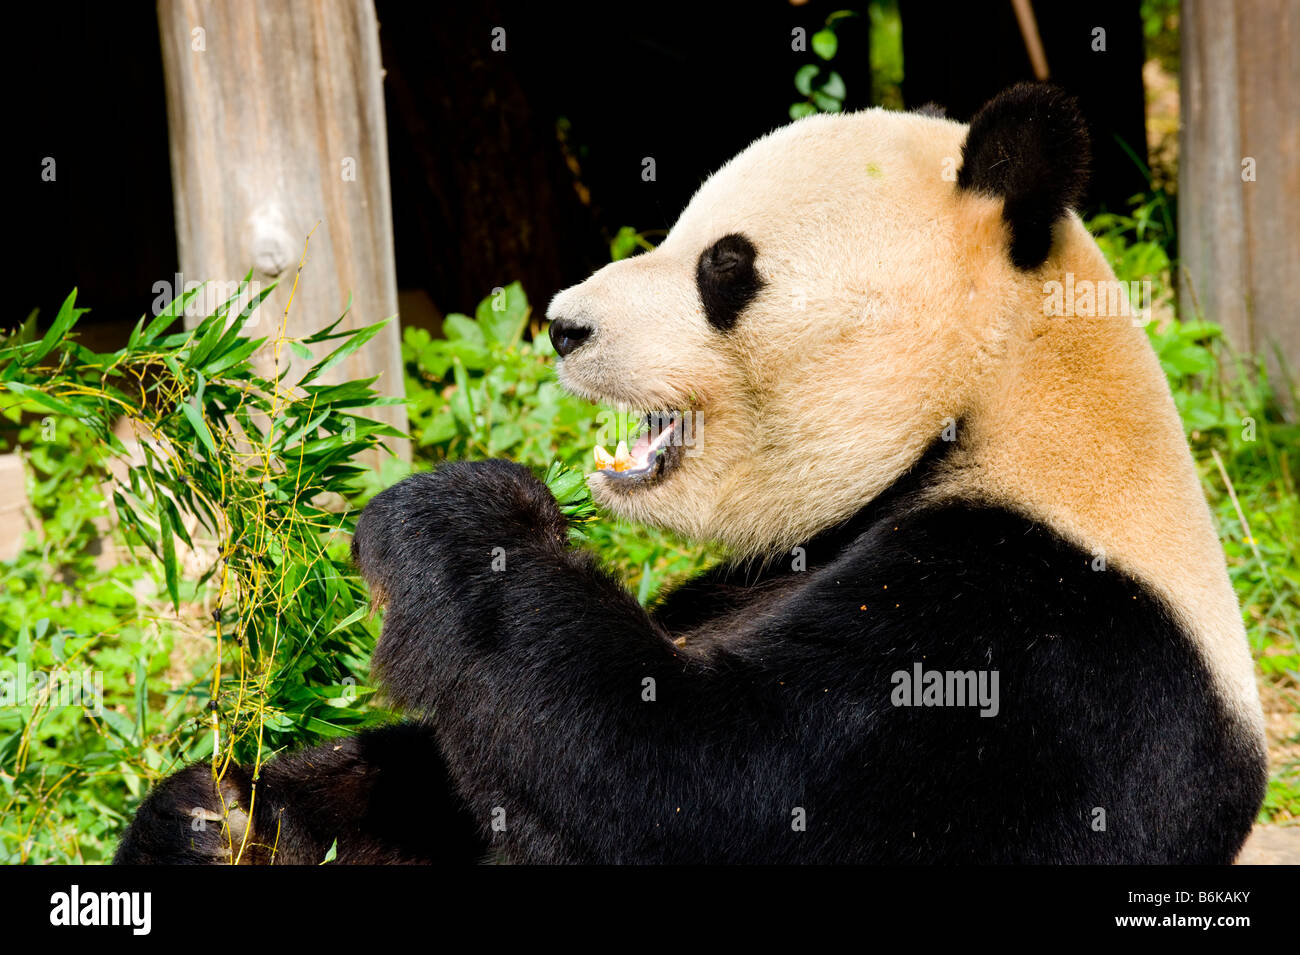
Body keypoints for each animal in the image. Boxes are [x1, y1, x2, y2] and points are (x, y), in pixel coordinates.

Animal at [115, 84, 1267, 865]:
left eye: (726, 265)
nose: (564, 324)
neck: (997, 404)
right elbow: (451, 775)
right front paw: (223, 815)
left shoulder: (1036, 645)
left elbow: (707, 788)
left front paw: (466, 514)